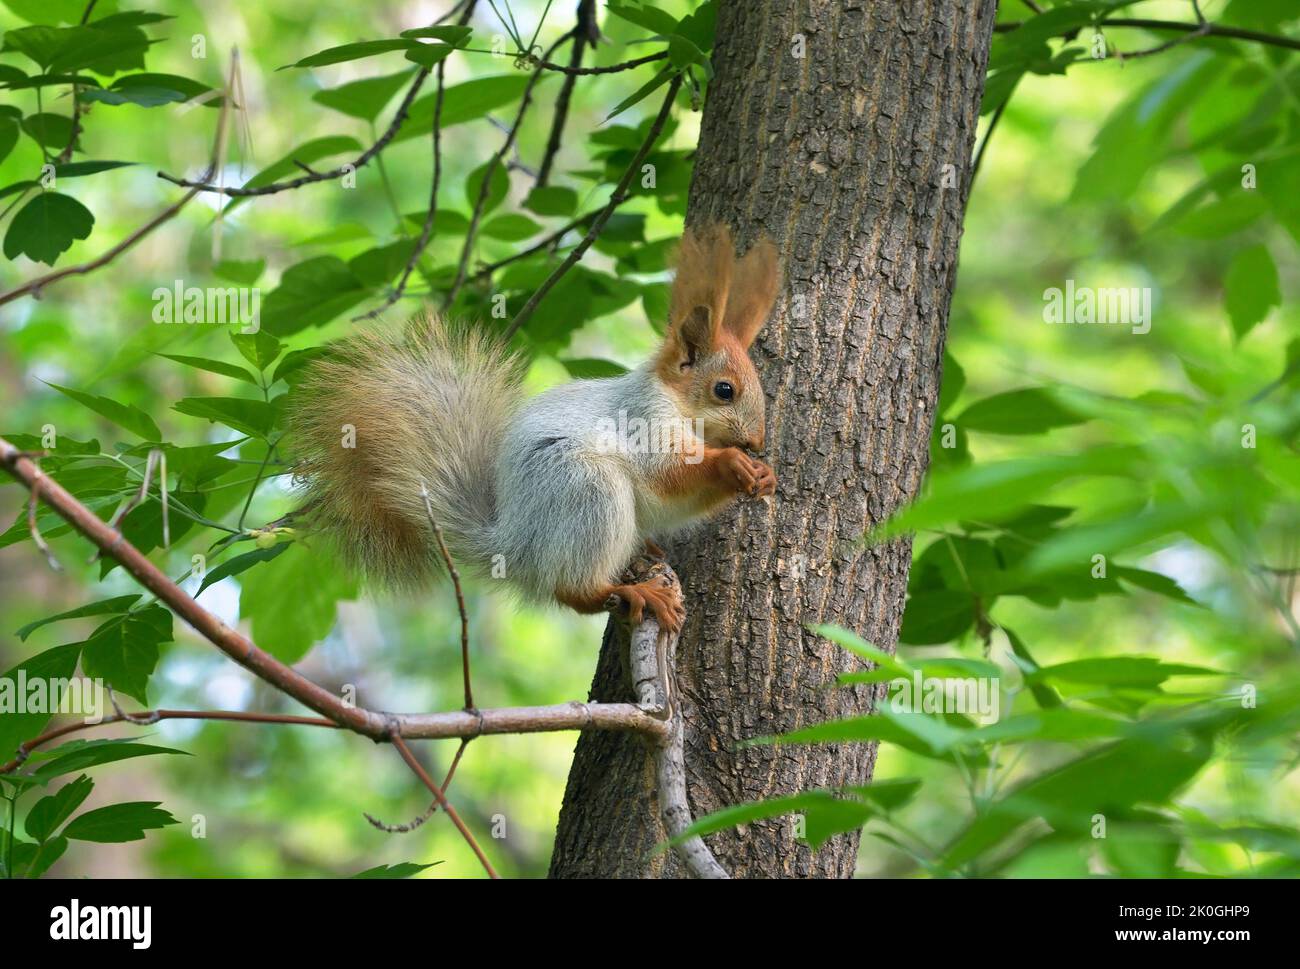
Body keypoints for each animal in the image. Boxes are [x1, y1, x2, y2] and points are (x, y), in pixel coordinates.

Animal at [286, 223, 780, 633]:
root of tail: (513, 545)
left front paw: (763, 475)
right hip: (586, 488)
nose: (756, 442)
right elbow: (667, 475)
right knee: (571, 591)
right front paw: (731, 463)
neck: (675, 401)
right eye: (724, 390)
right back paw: (629, 591)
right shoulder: (642, 420)